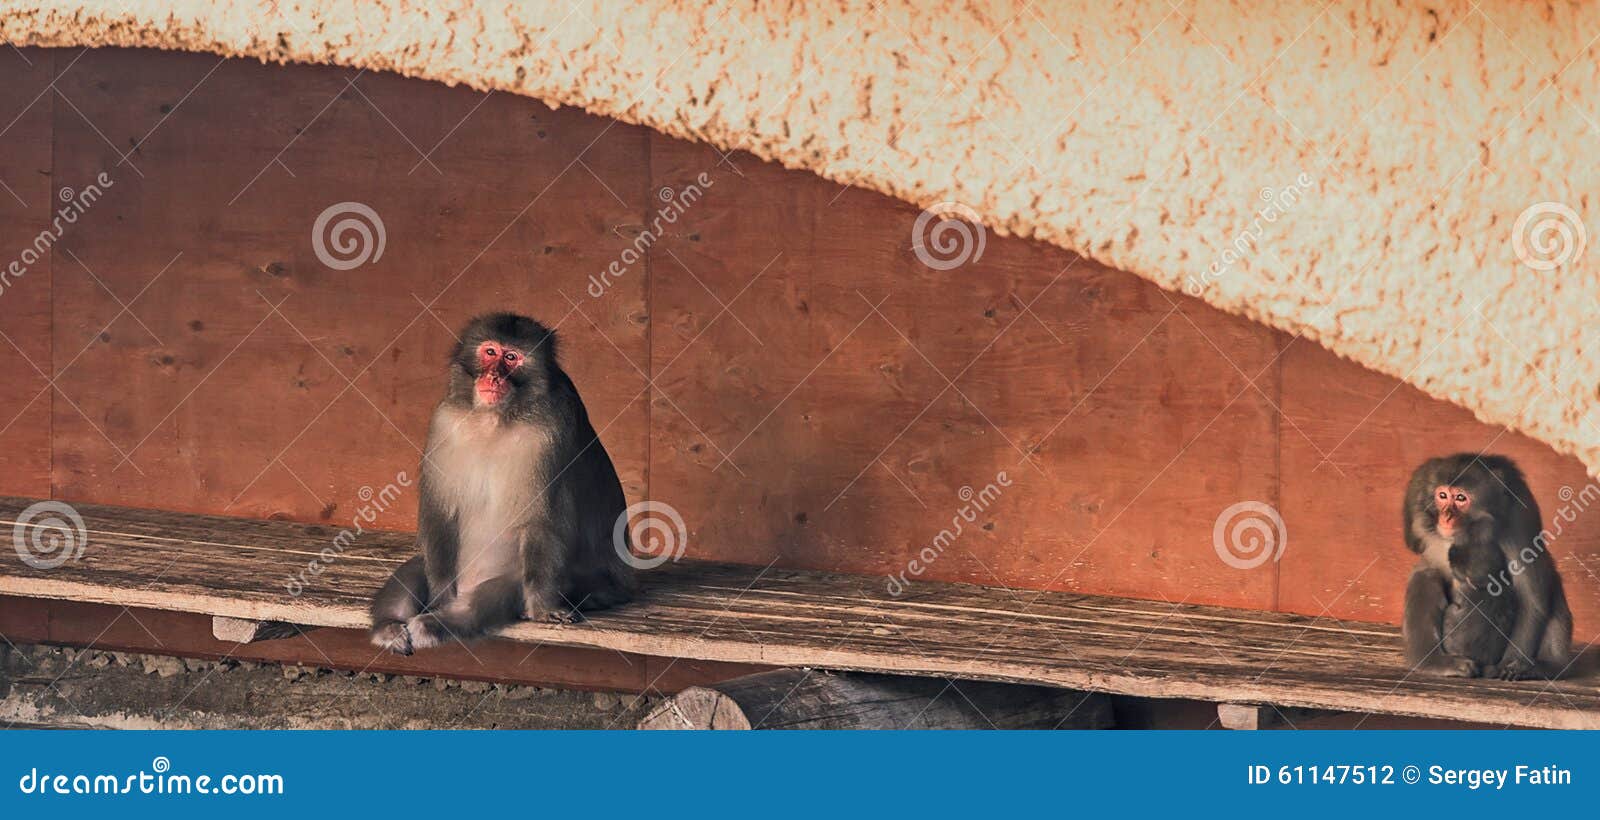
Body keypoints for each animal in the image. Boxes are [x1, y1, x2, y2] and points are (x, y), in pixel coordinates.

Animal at [369, 314, 635, 655]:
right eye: (490, 352)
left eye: (511, 358)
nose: (493, 377)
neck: (495, 419)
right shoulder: (445, 420)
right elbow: (440, 513)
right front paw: (438, 598)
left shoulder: (552, 427)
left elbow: (541, 519)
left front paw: (543, 608)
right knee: (417, 570)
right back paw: (391, 626)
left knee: (489, 597)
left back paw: (435, 624)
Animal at [1401, 454, 1572, 679]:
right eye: (1442, 495)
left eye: (1461, 498)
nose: (1446, 516)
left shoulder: (1518, 519)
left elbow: (1531, 598)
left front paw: (1511, 663)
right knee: (1426, 574)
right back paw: (1432, 661)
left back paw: (1548, 666)